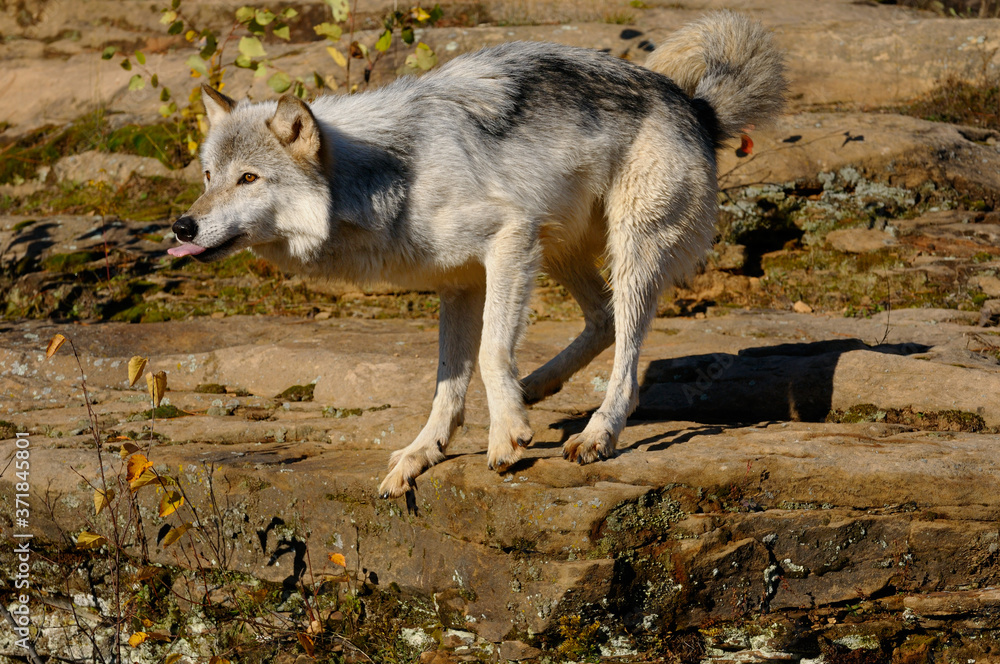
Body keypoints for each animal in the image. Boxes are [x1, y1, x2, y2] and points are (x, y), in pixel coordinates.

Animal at [168, 11, 786, 498]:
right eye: (208, 176)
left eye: (249, 178)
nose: (181, 225)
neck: (395, 177)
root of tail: (697, 105)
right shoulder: (460, 283)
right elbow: (448, 381)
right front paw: (423, 452)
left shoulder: (507, 241)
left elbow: (489, 353)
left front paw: (506, 434)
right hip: (554, 245)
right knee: (603, 319)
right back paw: (535, 385)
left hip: (622, 249)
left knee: (627, 356)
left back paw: (595, 432)